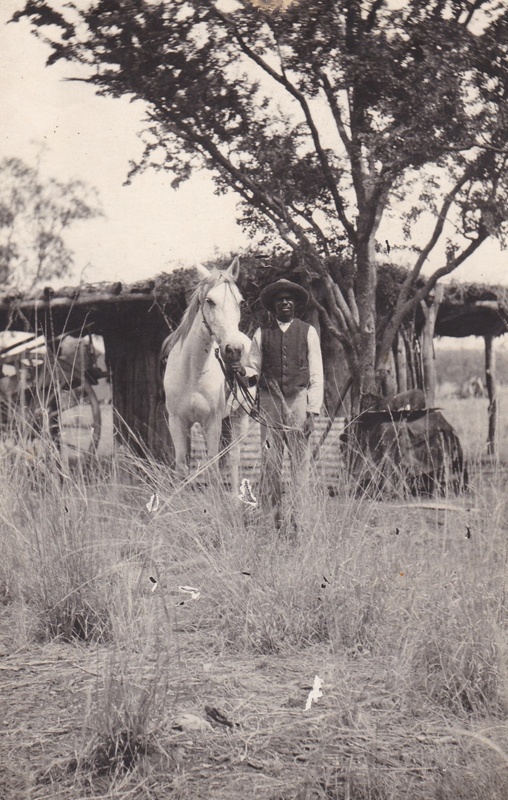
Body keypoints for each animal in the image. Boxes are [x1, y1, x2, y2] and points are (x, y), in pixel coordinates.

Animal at [161, 257, 252, 494]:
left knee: (234, 458)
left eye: (240, 301)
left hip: (239, 417)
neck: (192, 373)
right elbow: (182, 468)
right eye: (210, 301)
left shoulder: (213, 422)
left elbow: (213, 469)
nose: (234, 349)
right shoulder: (178, 422)